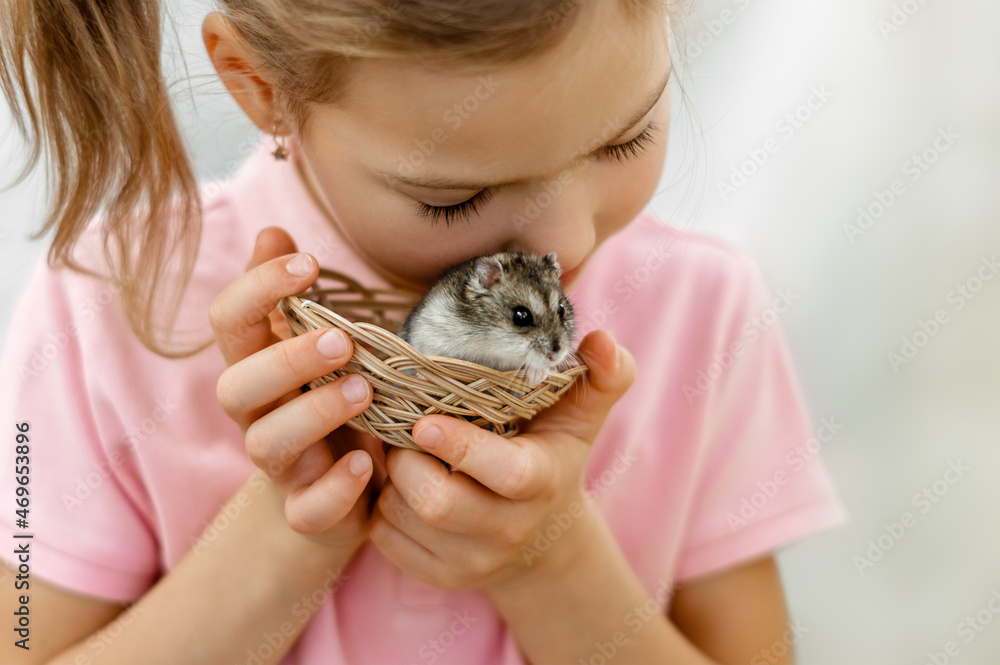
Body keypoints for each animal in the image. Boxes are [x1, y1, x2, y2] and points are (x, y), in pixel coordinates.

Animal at [397, 251, 577, 386]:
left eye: (562, 309)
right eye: (521, 316)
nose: (556, 356)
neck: (490, 344)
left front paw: (540, 374)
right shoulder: (431, 335)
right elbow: (432, 359)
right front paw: (425, 376)